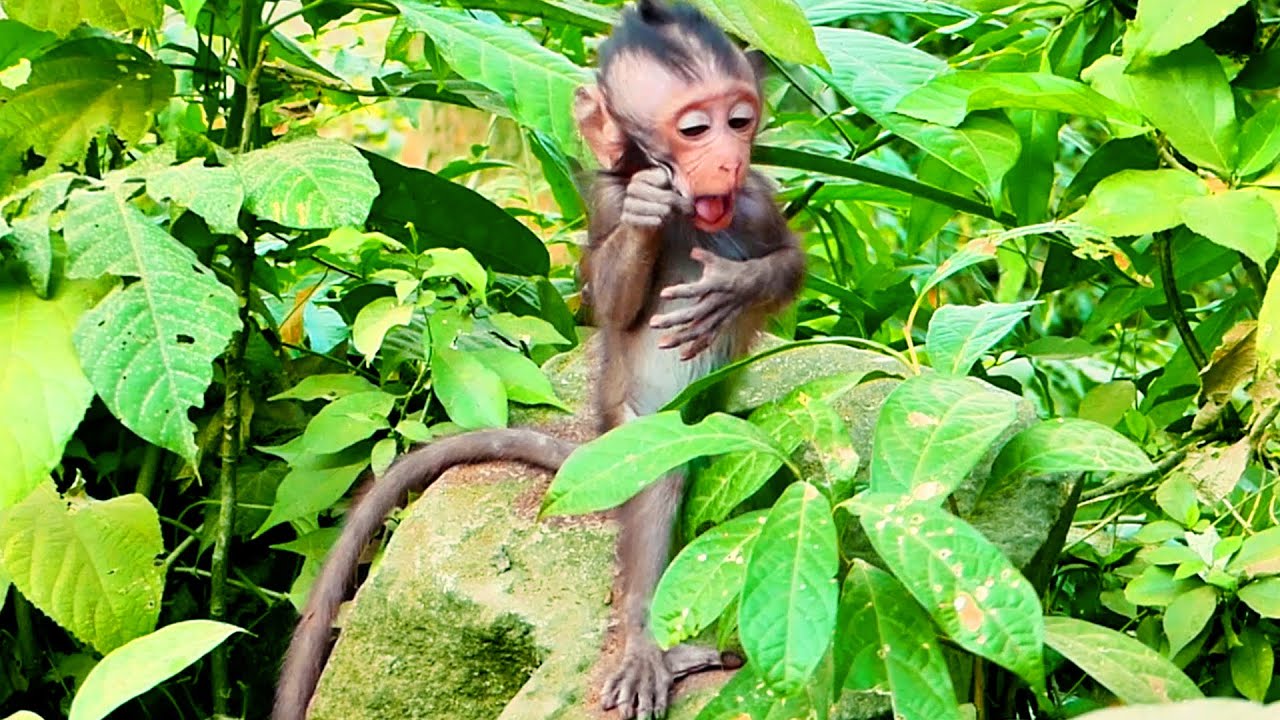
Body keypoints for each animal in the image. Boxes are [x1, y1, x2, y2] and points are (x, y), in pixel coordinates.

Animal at [271, 3, 804, 719]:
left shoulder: (757, 197)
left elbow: (788, 264)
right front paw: (646, 217)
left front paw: (734, 288)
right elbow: (609, 300)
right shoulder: (609, 202)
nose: (726, 159)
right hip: (630, 439)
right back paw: (647, 642)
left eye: (739, 121)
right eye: (695, 129)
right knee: (658, 473)